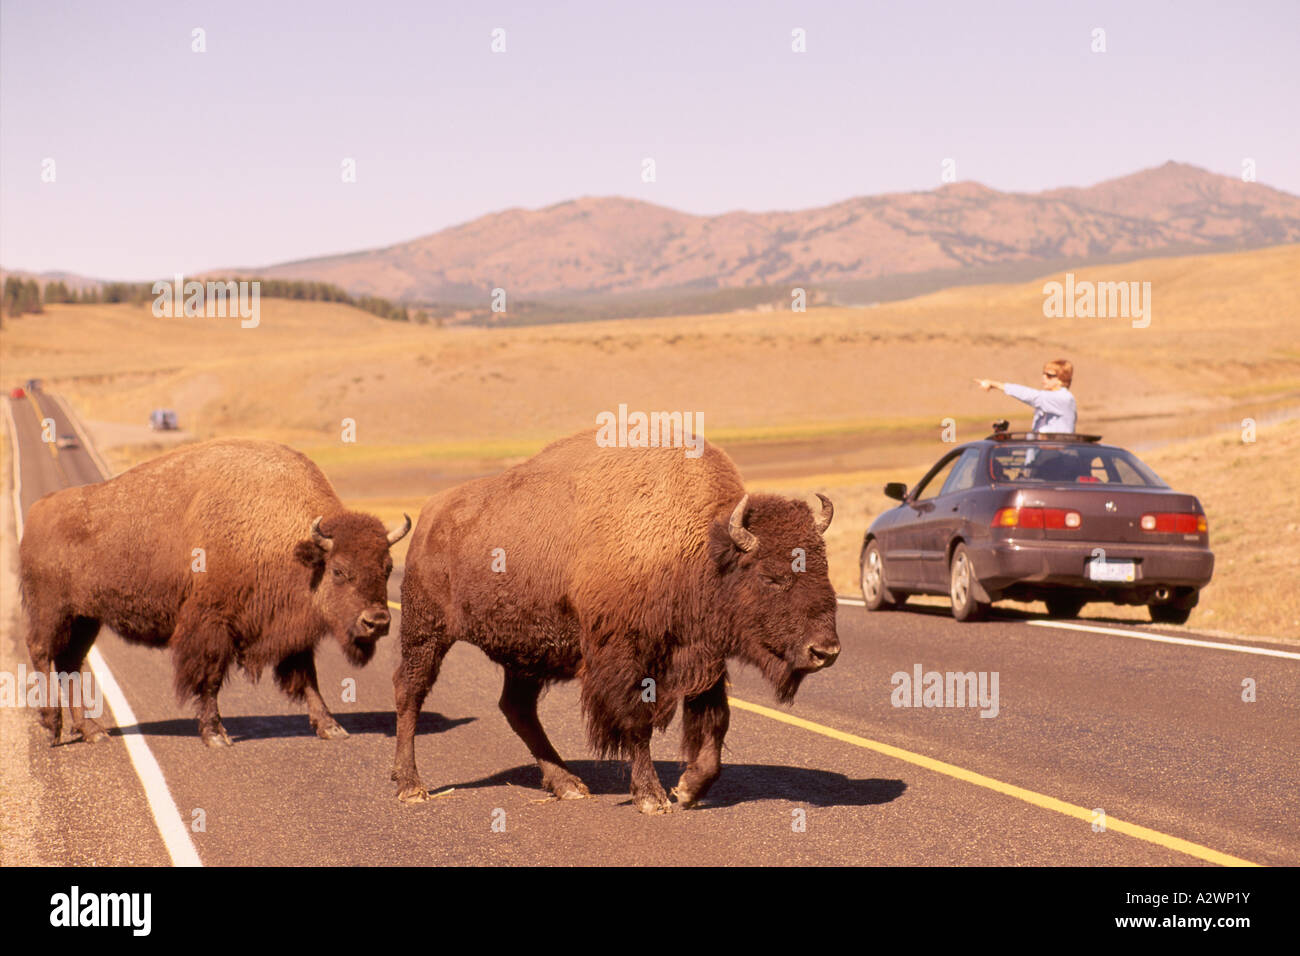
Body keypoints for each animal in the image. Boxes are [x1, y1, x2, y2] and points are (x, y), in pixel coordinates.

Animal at [20, 438, 409, 747]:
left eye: (388, 568)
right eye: (339, 570)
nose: (377, 621)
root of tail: (36, 512)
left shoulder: (291, 632)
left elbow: (307, 678)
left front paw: (331, 726)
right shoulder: (212, 625)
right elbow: (208, 679)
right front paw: (215, 734)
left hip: (86, 619)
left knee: (69, 663)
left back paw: (92, 731)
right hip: (52, 611)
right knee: (41, 652)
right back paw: (53, 726)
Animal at [393, 429, 839, 813]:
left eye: (824, 567)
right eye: (771, 576)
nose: (826, 651)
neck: (695, 548)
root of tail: (431, 515)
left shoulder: (702, 656)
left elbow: (715, 722)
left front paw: (689, 789)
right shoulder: (627, 659)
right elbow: (637, 723)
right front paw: (652, 797)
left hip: (524, 654)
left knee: (517, 708)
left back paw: (568, 785)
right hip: (426, 632)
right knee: (410, 692)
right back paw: (411, 786)